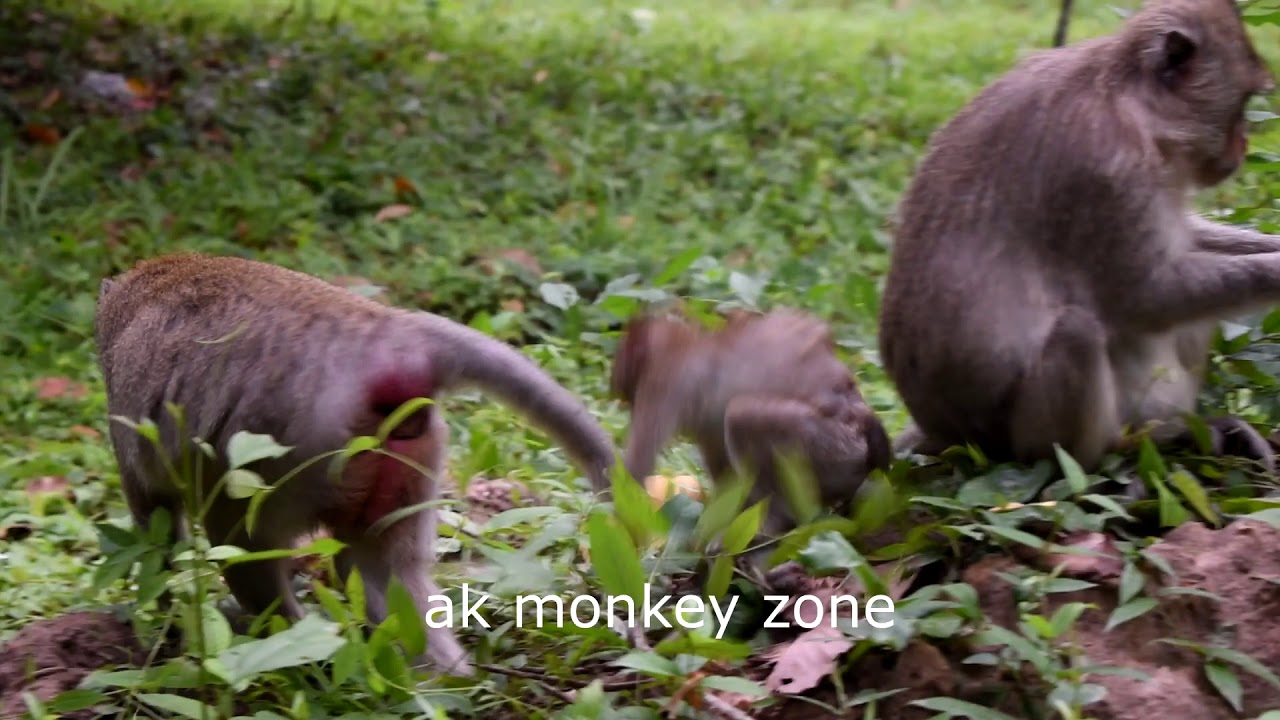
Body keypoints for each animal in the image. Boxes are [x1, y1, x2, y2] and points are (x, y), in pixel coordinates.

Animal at [94, 253, 619, 676]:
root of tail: (385, 335)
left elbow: (155, 520)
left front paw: (169, 628)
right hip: (403, 450)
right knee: (374, 564)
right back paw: (444, 678)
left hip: (293, 455)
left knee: (245, 544)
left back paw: (290, 652)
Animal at [610, 307, 893, 564]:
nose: (624, 400)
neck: (680, 341)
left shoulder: (663, 382)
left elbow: (635, 472)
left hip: (834, 449)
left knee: (741, 415)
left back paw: (771, 525)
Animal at [879, 0, 1280, 474]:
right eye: (1245, 102)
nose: (1243, 146)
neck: (1132, 102)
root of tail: (941, 431)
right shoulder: (1106, 170)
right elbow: (1147, 296)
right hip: (1008, 444)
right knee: (1077, 333)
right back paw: (1128, 445)